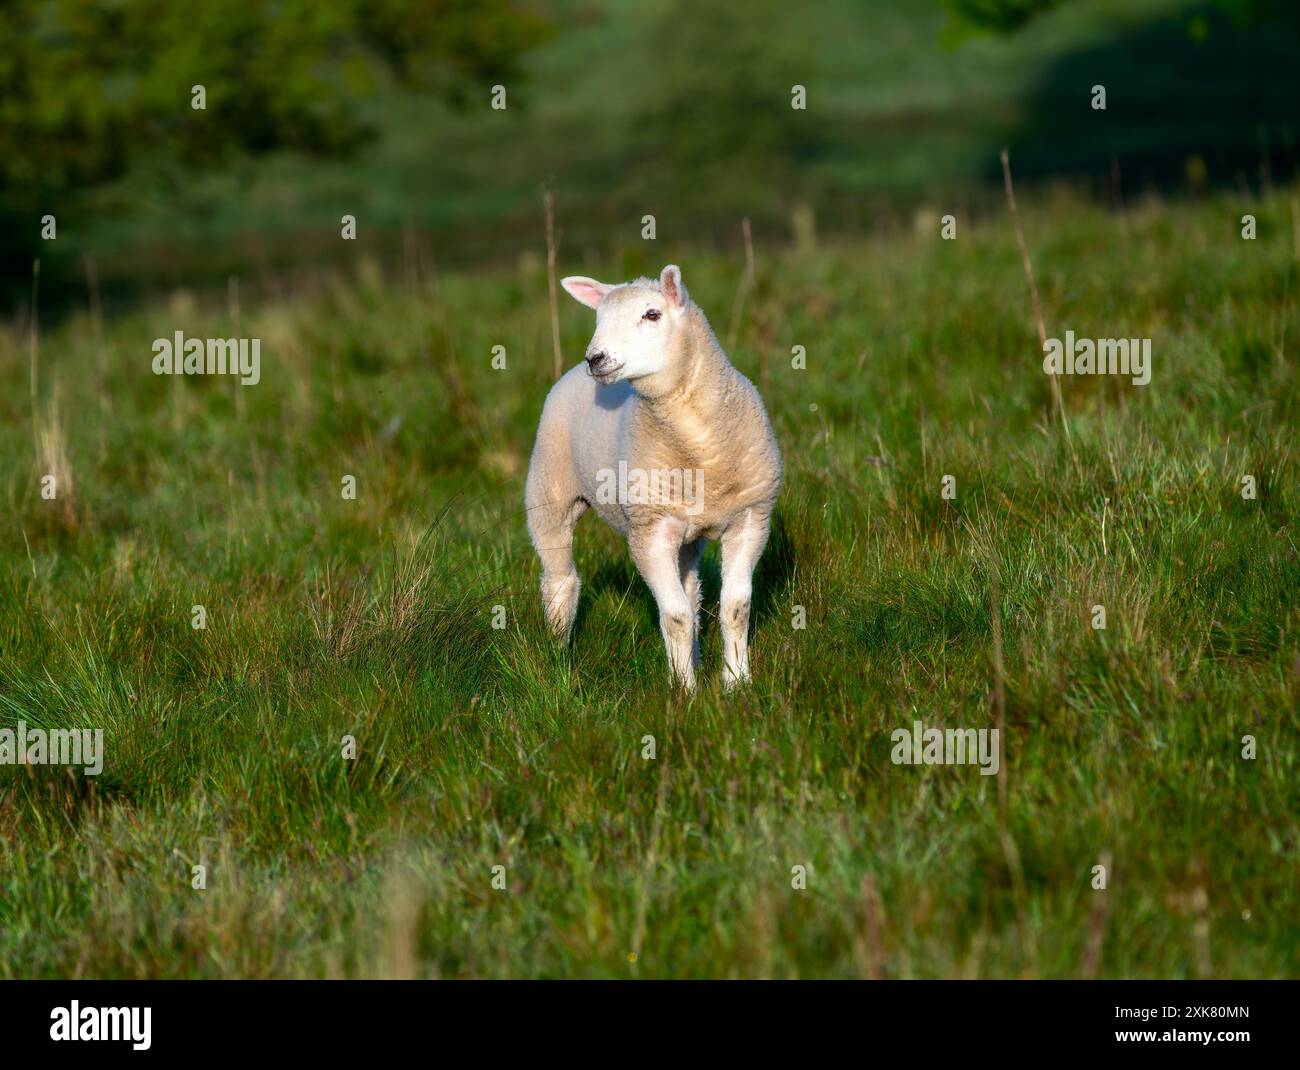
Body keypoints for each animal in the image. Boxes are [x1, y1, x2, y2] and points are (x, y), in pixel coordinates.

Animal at [525, 264, 782, 691]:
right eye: (598, 319)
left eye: (652, 314)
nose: (596, 358)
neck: (698, 446)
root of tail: (571, 374)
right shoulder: (649, 532)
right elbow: (674, 616)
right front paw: (685, 691)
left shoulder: (750, 519)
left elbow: (735, 607)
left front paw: (736, 682)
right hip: (549, 490)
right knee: (560, 581)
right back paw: (558, 657)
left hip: (688, 532)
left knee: (692, 592)